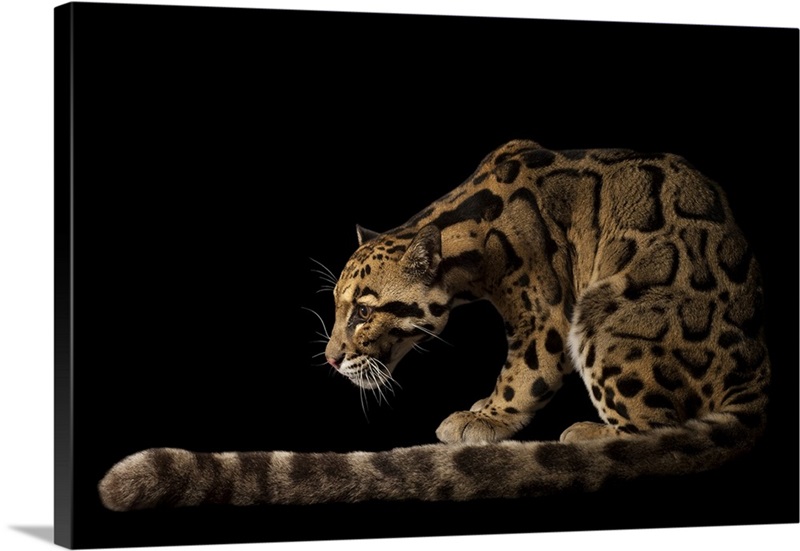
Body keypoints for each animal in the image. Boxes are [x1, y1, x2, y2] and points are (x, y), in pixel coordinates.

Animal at [99, 139, 770, 510]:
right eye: (336, 307)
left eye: (363, 311)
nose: (330, 358)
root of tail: (755, 373)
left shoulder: (547, 314)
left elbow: (524, 373)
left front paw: (483, 417)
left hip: (606, 314)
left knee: (655, 434)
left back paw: (589, 433)